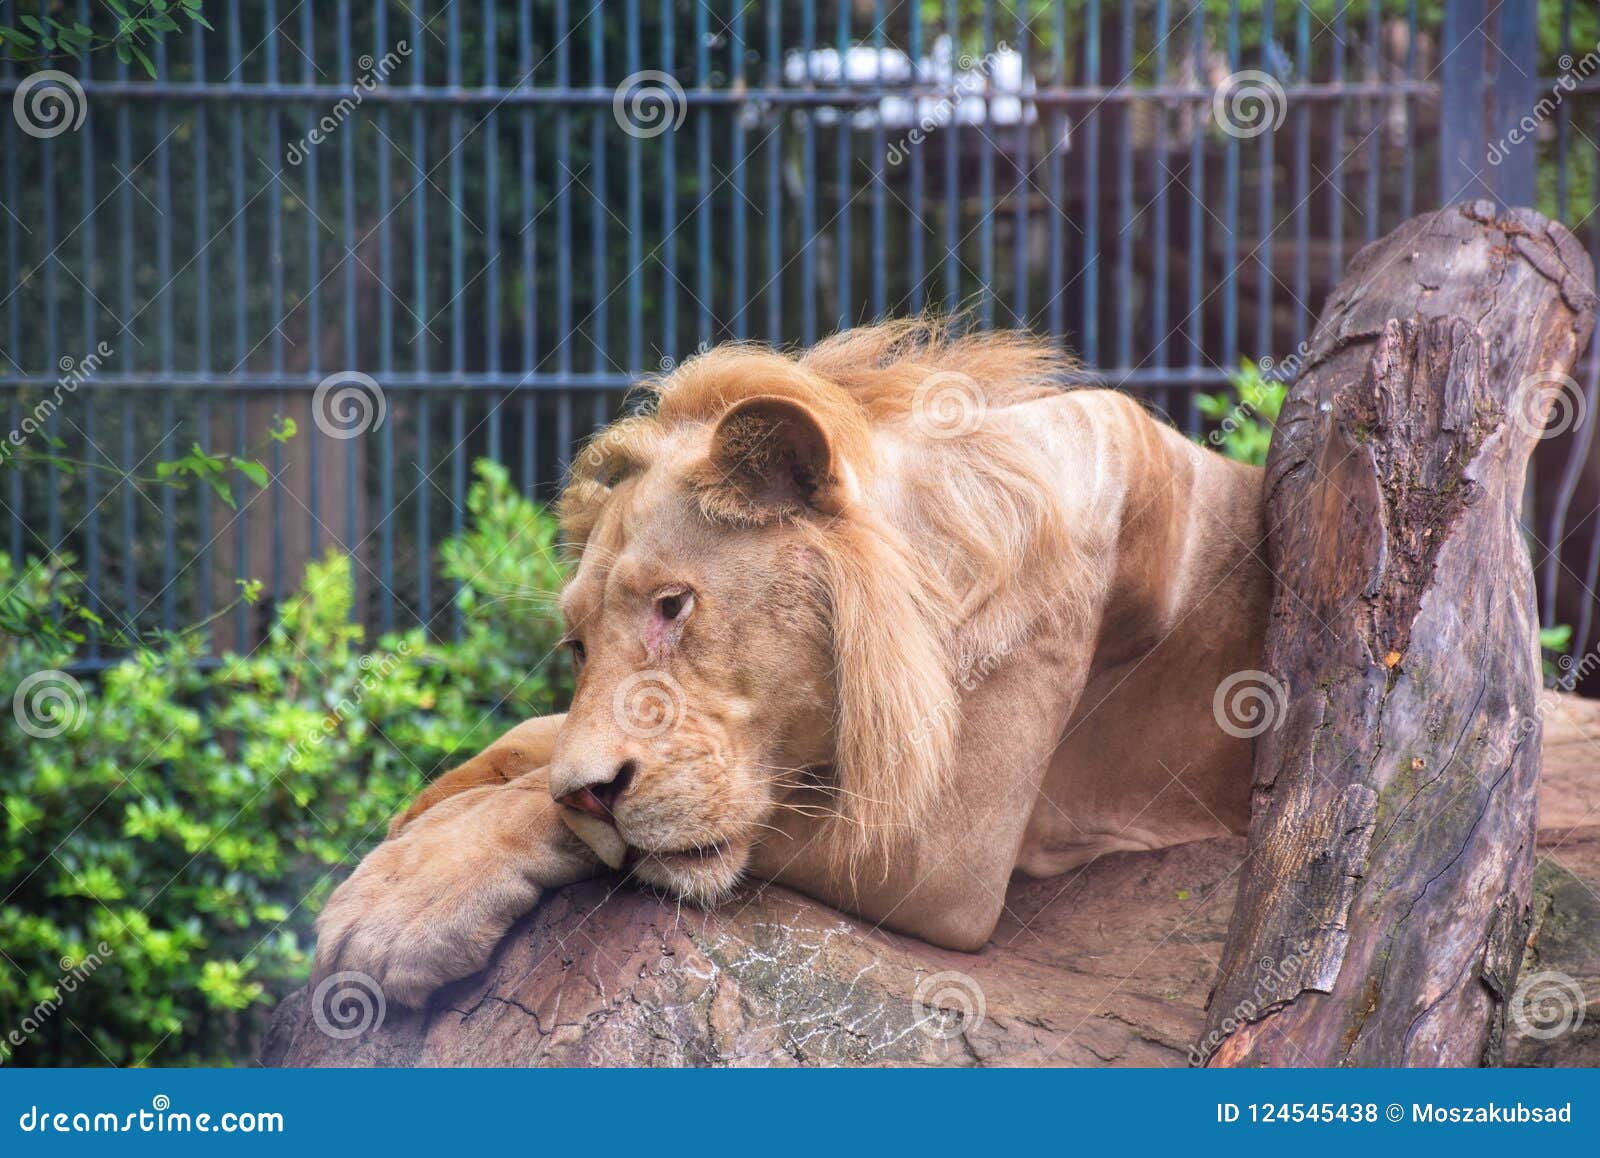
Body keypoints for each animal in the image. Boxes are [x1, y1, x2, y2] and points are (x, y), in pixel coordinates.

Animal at [313, 320, 1269, 1006]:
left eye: (674, 606)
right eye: (579, 646)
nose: (594, 793)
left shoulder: (940, 855)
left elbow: (548, 804)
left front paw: (404, 897)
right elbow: (544, 743)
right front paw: (430, 803)